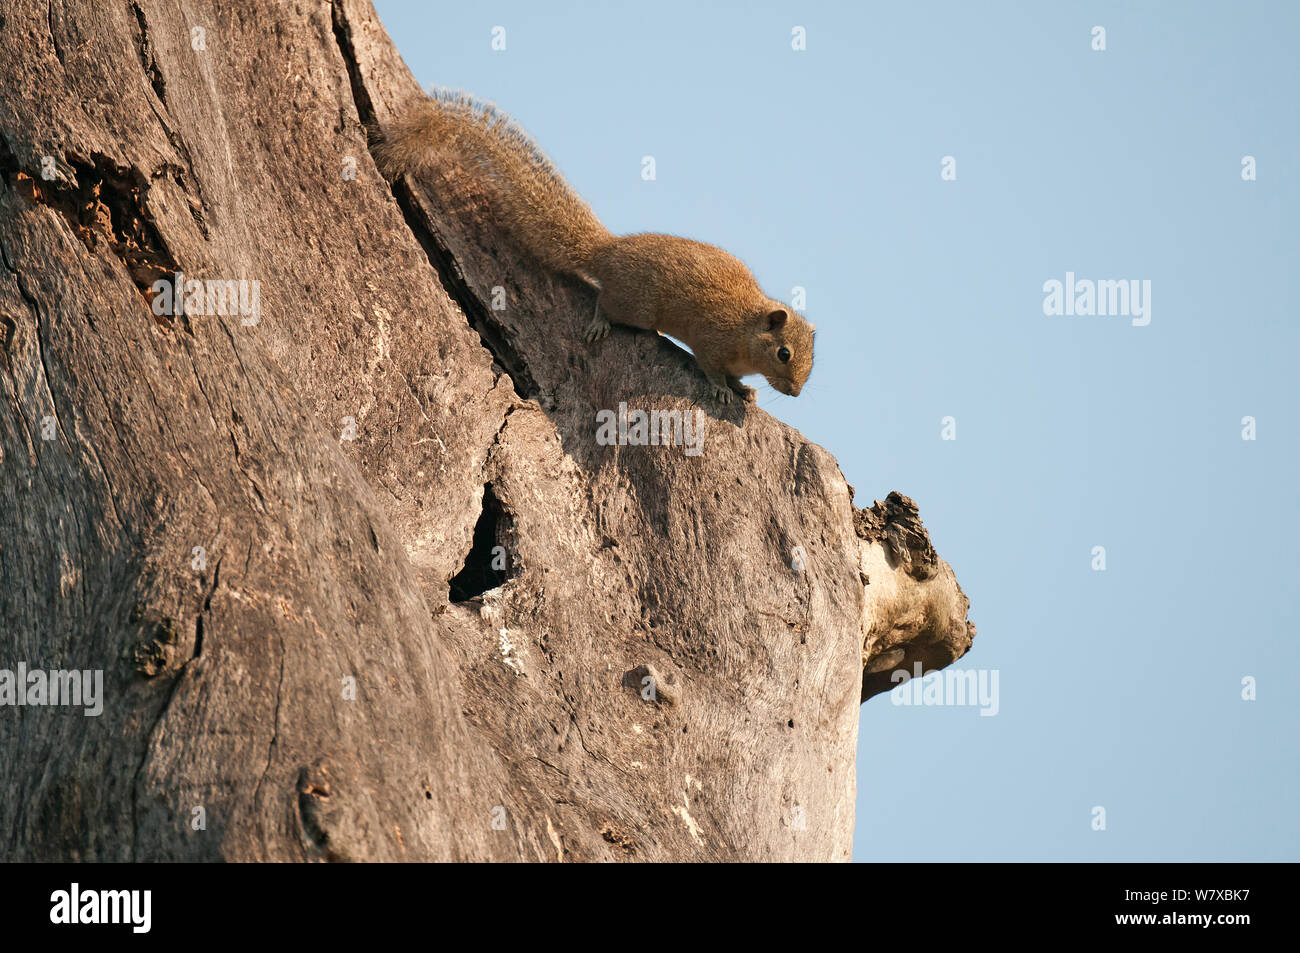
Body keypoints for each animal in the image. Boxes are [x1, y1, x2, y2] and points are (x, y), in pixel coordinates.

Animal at [375, 91, 814, 404]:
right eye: (785, 354)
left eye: (812, 359)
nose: (794, 392)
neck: (745, 328)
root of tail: (606, 251)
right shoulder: (711, 340)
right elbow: (710, 369)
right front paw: (723, 389)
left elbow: (738, 377)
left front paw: (744, 390)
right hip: (635, 306)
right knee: (606, 302)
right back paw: (600, 323)